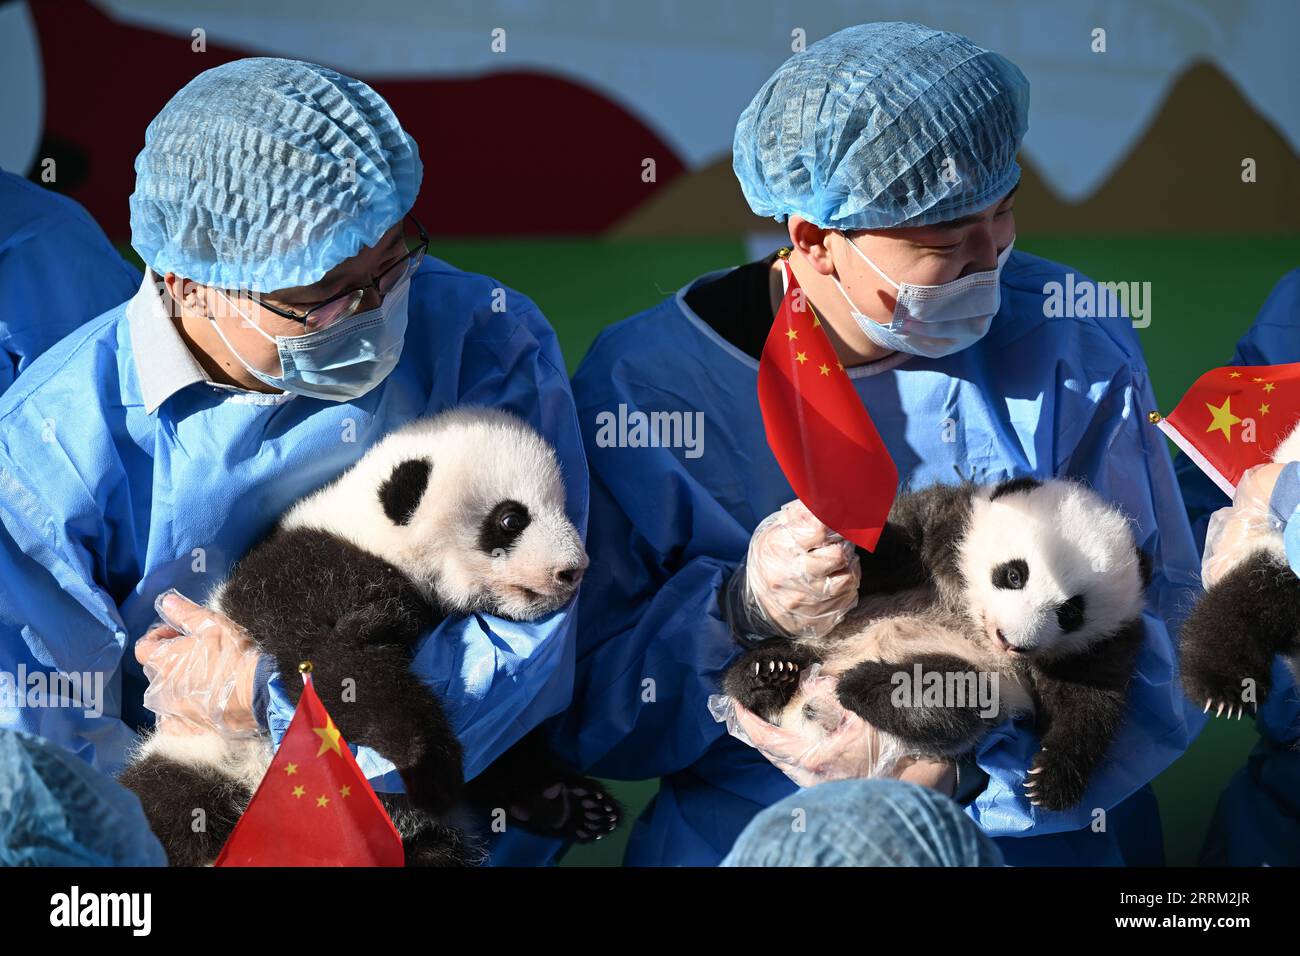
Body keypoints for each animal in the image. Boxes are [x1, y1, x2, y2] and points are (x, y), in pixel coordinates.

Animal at [118, 407, 619, 866]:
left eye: (563, 507)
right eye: (512, 519)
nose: (574, 570)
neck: (374, 536)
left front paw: (563, 801)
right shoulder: (310, 577)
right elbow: (335, 665)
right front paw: (429, 763)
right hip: (206, 762)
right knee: (171, 806)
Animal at [722, 476, 1151, 812]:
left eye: (1071, 612)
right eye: (1015, 574)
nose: (1013, 642)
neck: (971, 610)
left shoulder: (1099, 648)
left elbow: (1088, 704)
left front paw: (1048, 779)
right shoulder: (949, 524)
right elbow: (894, 543)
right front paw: (819, 546)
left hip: (979, 679)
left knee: (952, 693)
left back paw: (865, 685)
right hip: (825, 642)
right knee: (763, 667)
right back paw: (770, 673)